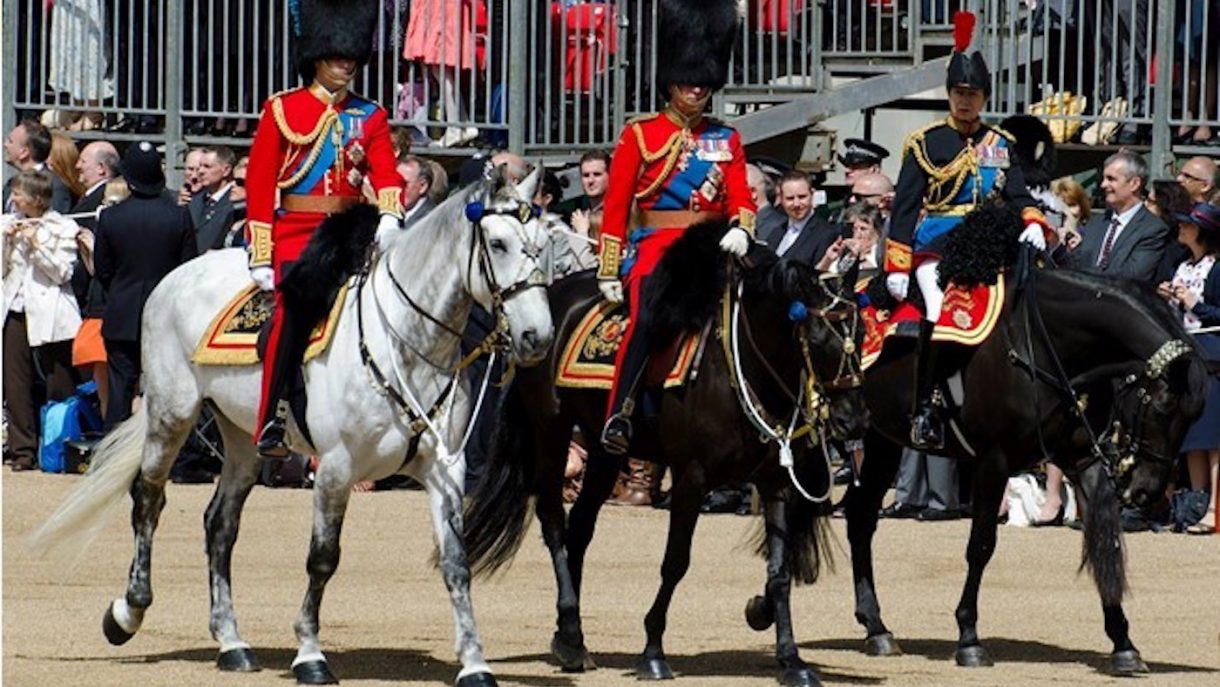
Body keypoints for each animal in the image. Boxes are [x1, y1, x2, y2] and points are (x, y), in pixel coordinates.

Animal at [29, 167, 555, 687]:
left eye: (543, 244)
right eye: (499, 243)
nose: (538, 337)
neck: (405, 343)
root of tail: (180, 273)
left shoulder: (445, 472)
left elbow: (456, 563)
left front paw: (474, 662)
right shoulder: (336, 468)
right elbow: (323, 558)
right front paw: (309, 654)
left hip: (242, 439)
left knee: (220, 523)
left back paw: (232, 642)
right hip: (170, 414)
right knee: (147, 502)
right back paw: (128, 613)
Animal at [464, 229, 870, 687]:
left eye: (862, 331)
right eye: (817, 336)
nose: (855, 420)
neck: (743, 366)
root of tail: (549, 295)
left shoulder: (775, 482)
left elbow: (780, 574)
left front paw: (789, 655)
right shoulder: (691, 478)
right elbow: (675, 562)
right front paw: (653, 651)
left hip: (604, 452)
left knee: (579, 529)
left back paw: (571, 638)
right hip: (551, 430)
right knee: (553, 521)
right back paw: (569, 627)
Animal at [836, 210, 1208, 675]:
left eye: (1194, 417)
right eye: (1161, 406)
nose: (1146, 491)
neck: (1050, 345)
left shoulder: (1083, 459)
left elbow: (1105, 540)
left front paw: (1123, 641)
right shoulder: (992, 461)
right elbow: (981, 545)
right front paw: (969, 637)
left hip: (882, 440)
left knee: (860, 517)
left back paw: (877, 627)